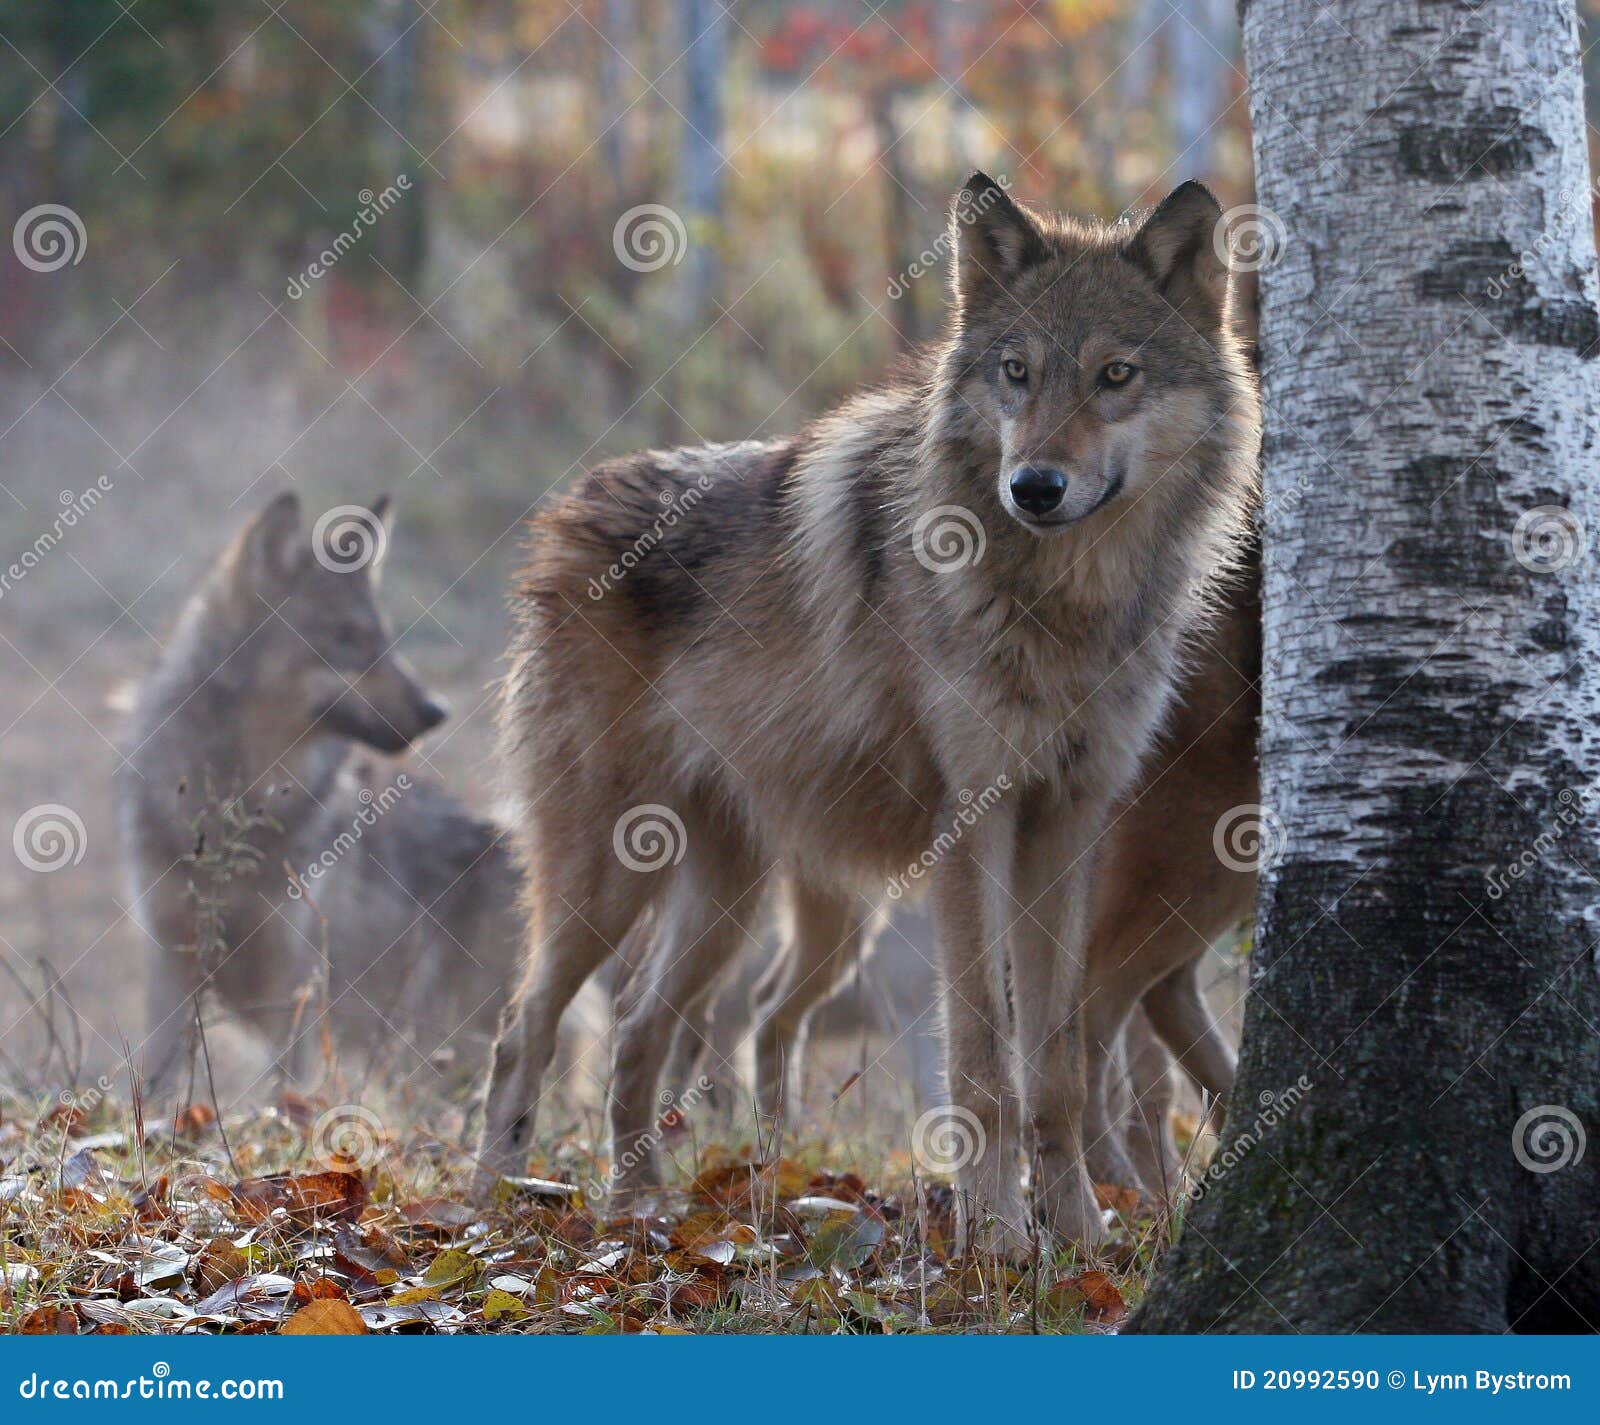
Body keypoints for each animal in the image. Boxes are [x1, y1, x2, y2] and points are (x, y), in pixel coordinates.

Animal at [118, 494, 525, 1098]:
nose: (438, 710)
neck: (238, 802)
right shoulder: (169, 962)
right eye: (346, 637)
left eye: (384, 637)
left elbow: (285, 1091)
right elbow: (160, 1085)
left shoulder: (297, 981)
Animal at [479, 173, 1259, 1252]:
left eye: (1114, 375)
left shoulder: (1068, 822)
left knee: (638, 1032)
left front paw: (1082, 1245)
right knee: (523, 1029)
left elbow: (1057, 1065)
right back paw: (487, 1215)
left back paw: (642, 1213)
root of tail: (571, 502)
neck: (1064, 605)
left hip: (726, 900)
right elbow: (984, 1065)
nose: (1034, 486)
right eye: (1016, 372)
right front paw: (999, 1245)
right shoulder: (973, 826)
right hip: (607, 879)